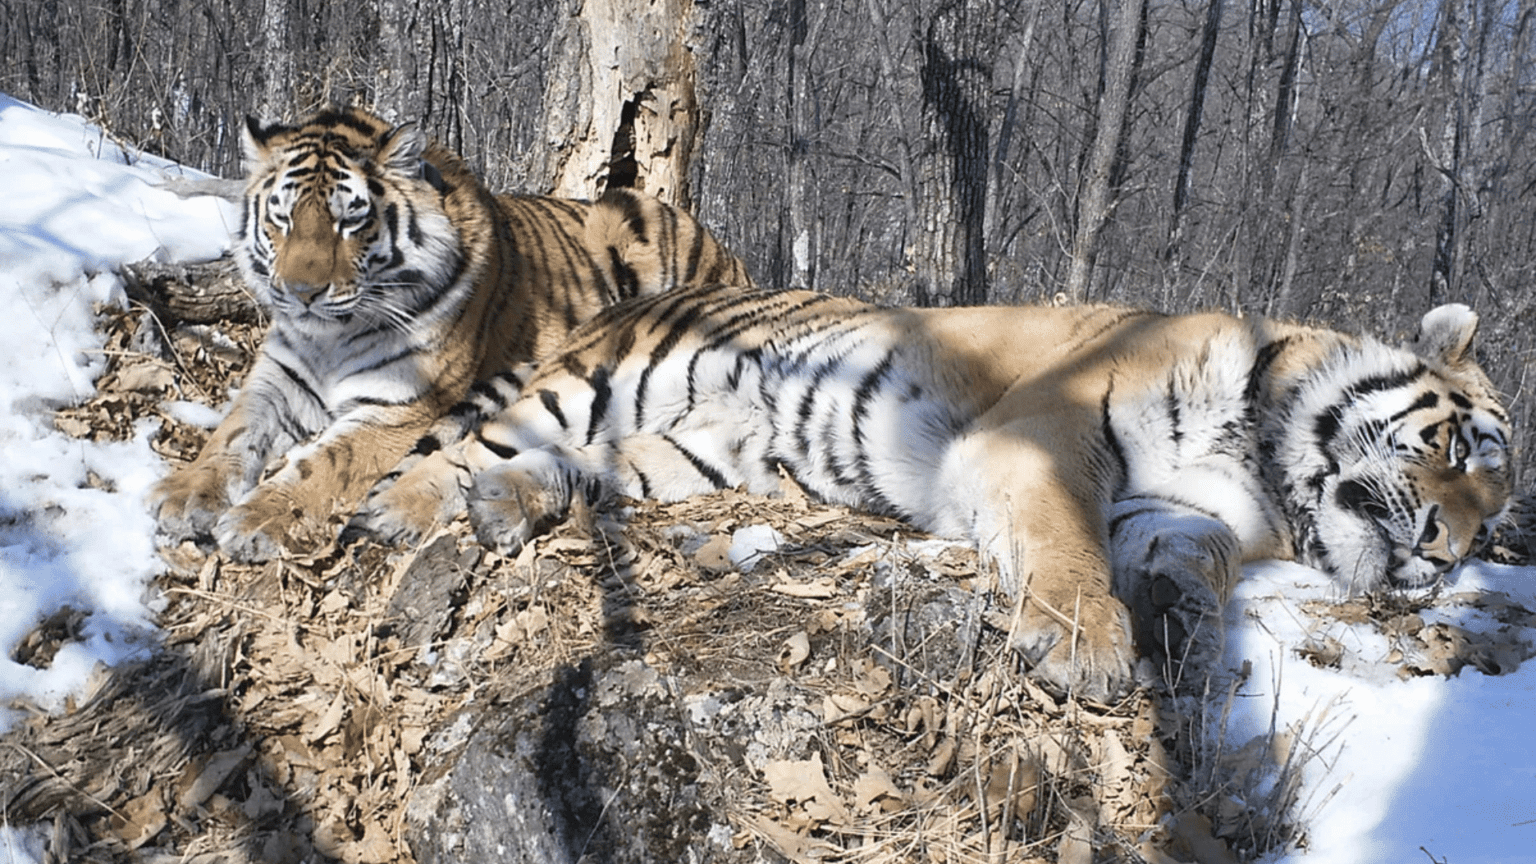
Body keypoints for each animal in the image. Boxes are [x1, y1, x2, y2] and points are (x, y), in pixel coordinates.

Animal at [149, 107, 751, 562]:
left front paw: (254, 518)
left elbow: (323, 464)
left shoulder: (399, 407)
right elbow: (231, 433)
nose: (300, 292)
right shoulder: (277, 378)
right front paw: (182, 495)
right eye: (283, 218)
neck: (330, 337)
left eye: (350, 220)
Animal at [348, 281, 1514, 701]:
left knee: (574, 471)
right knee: (460, 446)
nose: (1450, 554)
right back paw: (400, 511)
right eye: (1463, 453)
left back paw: (509, 505)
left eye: (1498, 517)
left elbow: (1196, 557)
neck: (1265, 463)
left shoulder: (1178, 509)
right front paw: (1086, 649)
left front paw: (1183, 625)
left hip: (691, 454)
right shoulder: (1044, 435)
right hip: (597, 383)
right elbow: (1068, 545)